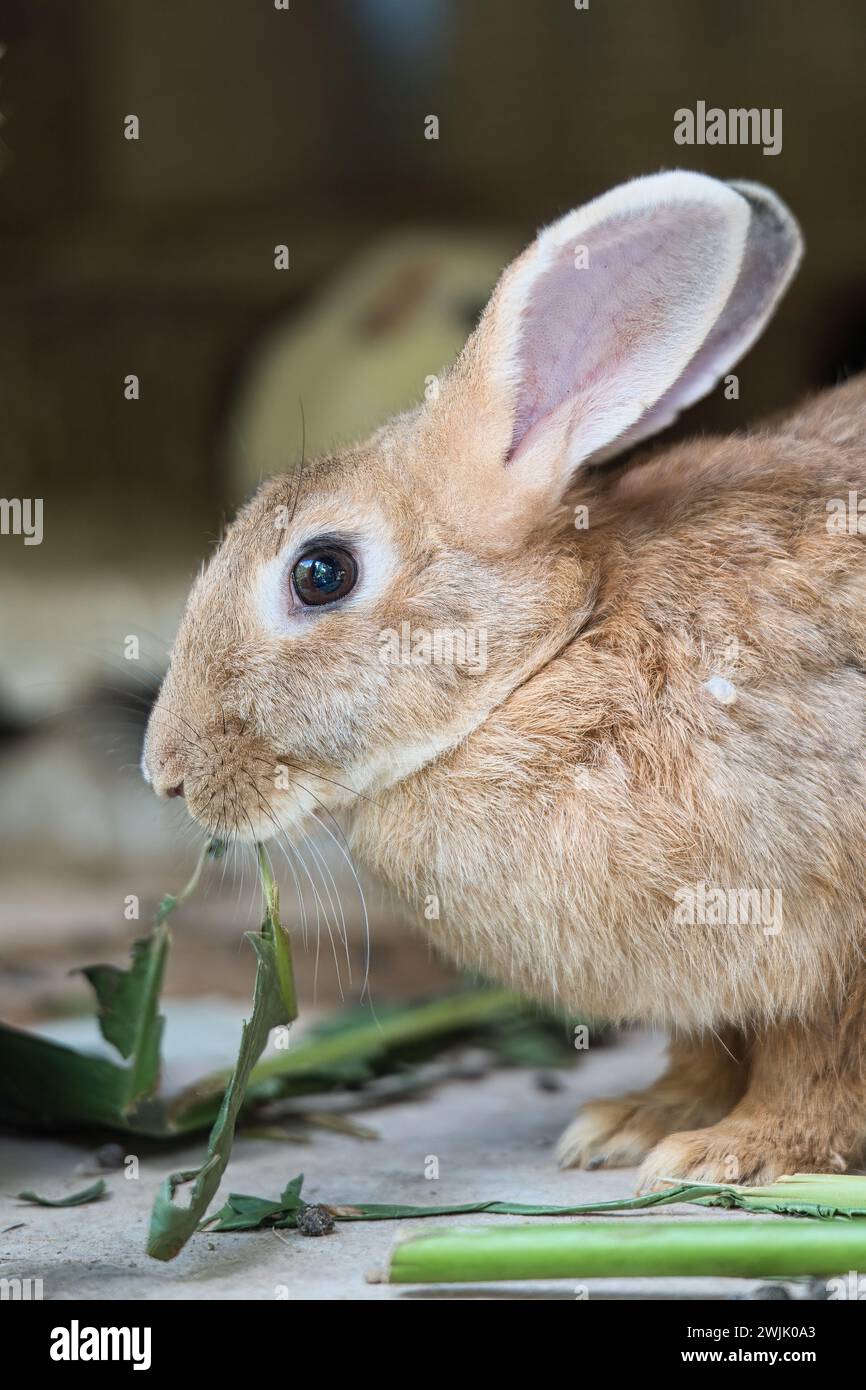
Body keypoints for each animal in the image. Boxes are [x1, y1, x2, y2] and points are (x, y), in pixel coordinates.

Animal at [143, 170, 866, 1190]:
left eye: (321, 573)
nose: (165, 772)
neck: (556, 649)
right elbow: (707, 1049)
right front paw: (630, 1124)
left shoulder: (830, 935)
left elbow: (818, 1072)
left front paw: (729, 1153)